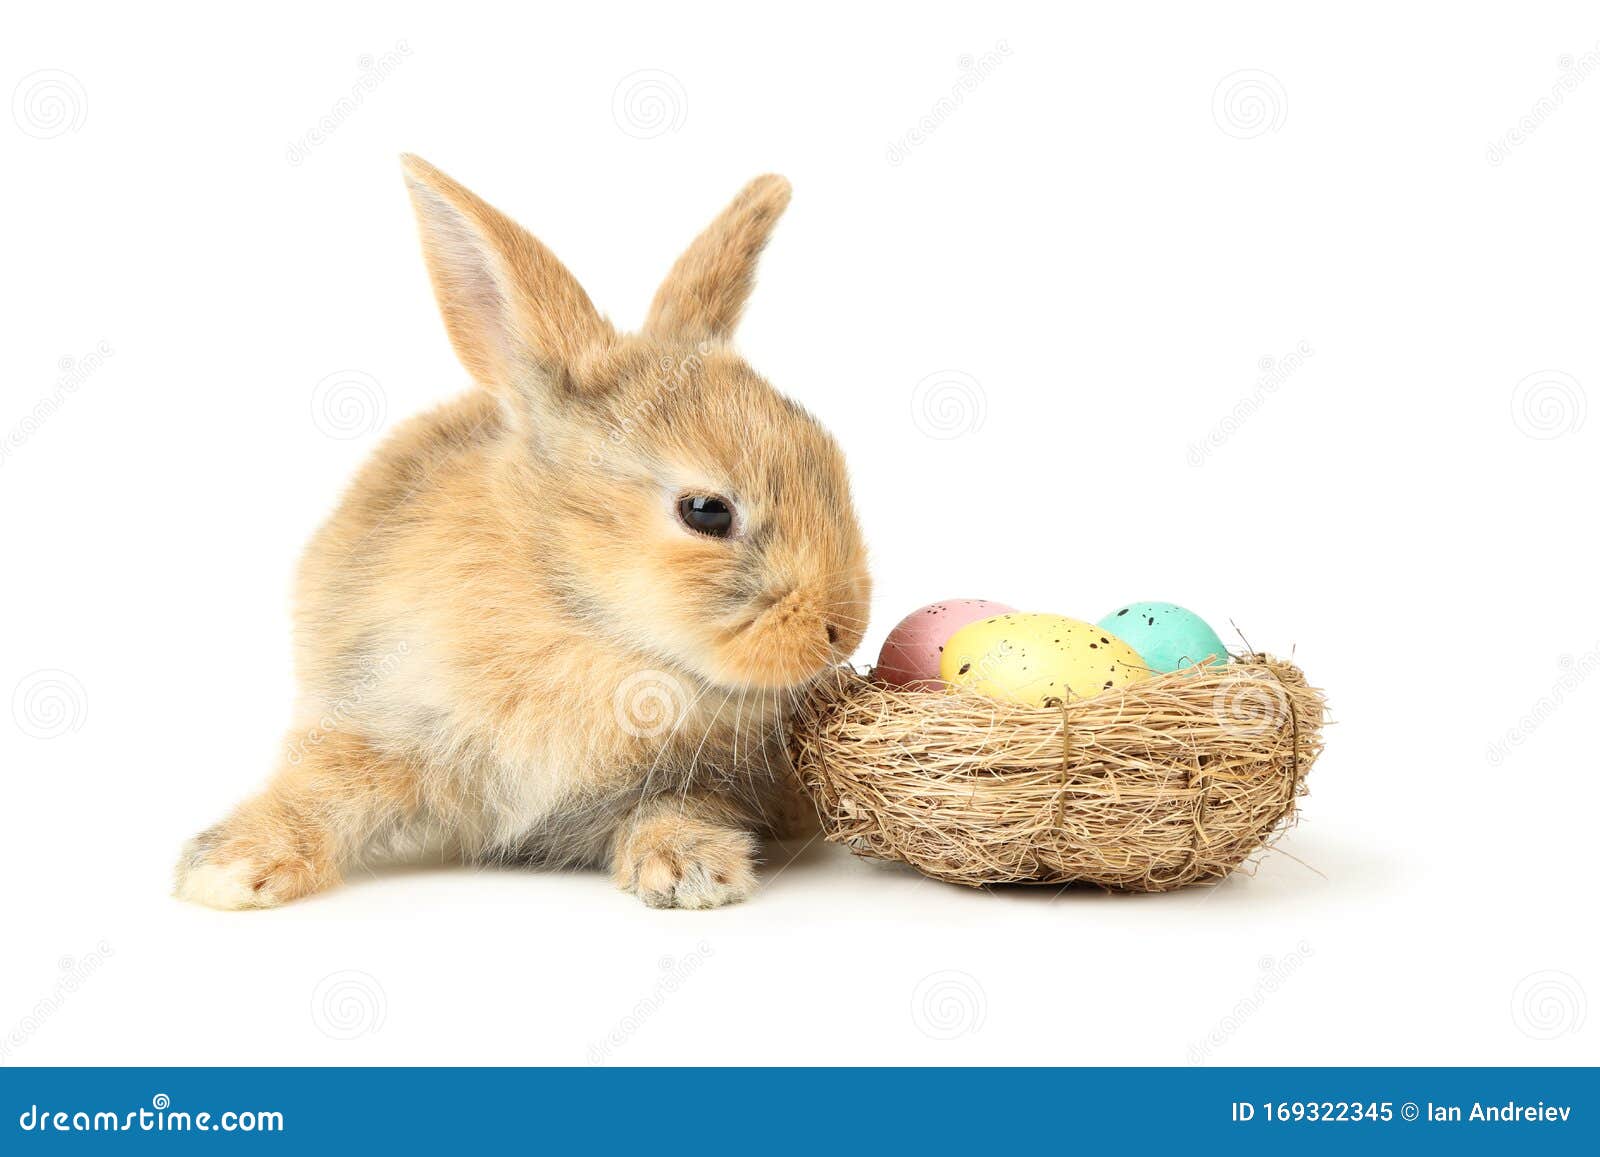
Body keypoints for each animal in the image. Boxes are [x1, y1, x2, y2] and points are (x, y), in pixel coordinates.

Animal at [174, 155, 870, 911]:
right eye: (707, 510)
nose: (843, 627)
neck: (589, 625)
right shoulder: (382, 717)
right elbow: (331, 787)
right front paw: (225, 871)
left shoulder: (709, 778)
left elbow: (679, 805)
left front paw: (692, 871)